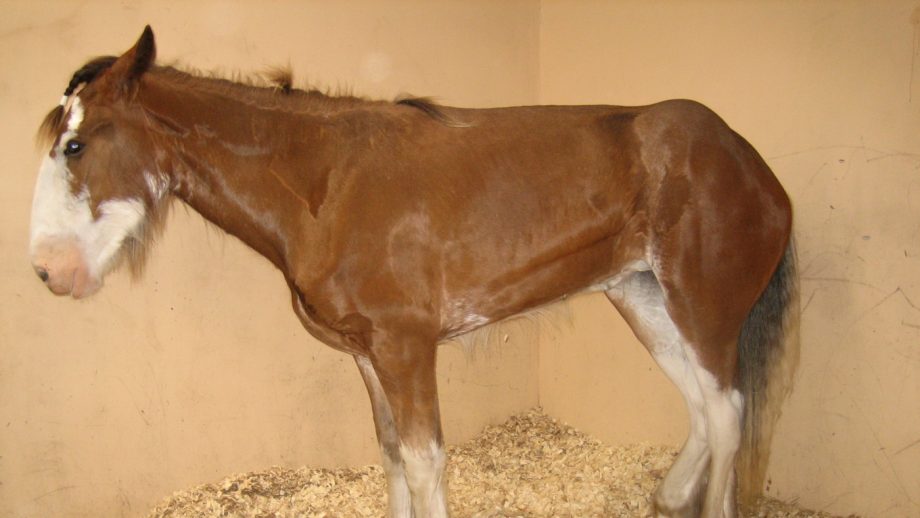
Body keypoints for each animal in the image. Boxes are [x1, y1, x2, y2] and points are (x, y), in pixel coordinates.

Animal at [28, 27, 798, 518]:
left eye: (76, 145)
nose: (47, 270)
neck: (327, 186)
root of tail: (755, 167)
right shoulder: (368, 354)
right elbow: (394, 454)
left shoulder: (406, 347)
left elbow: (427, 463)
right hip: (643, 299)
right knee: (701, 405)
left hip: (703, 307)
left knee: (727, 412)